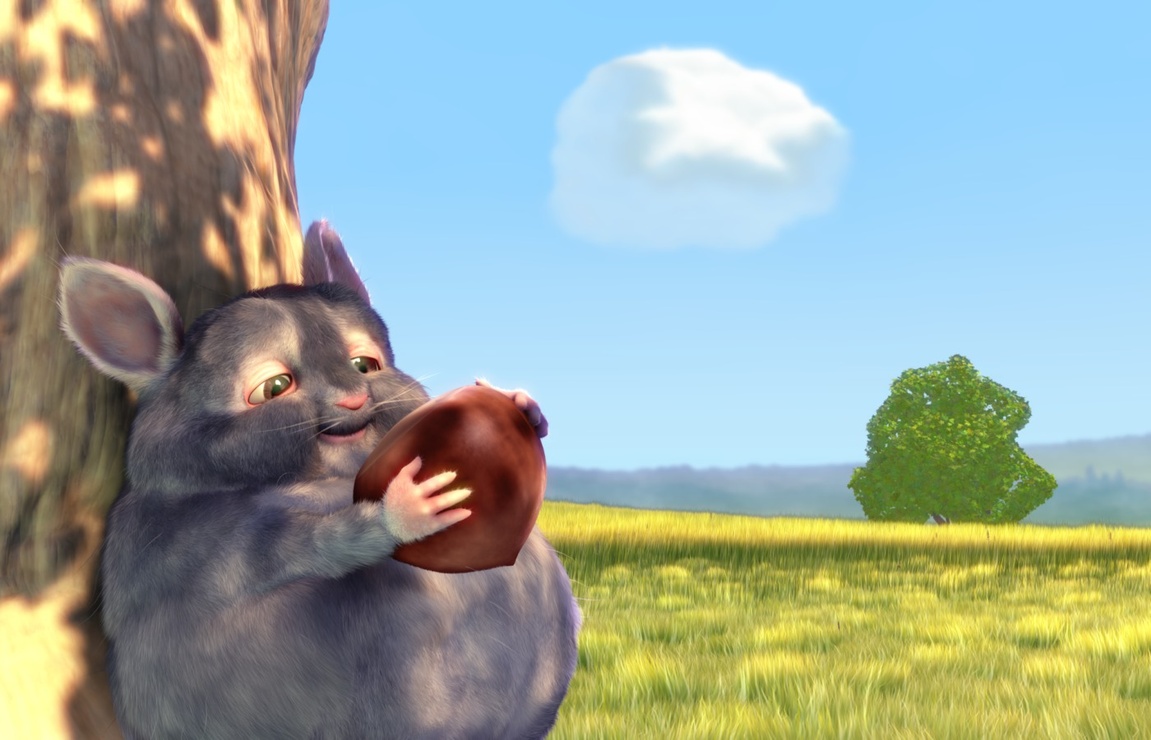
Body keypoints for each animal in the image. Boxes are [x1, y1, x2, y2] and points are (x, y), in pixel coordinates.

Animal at [57, 221, 581, 740]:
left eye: (364, 365)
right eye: (274, 388)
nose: (353, 399)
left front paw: (522, 404)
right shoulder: (202, 542)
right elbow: (309, 545)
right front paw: (407, 508)